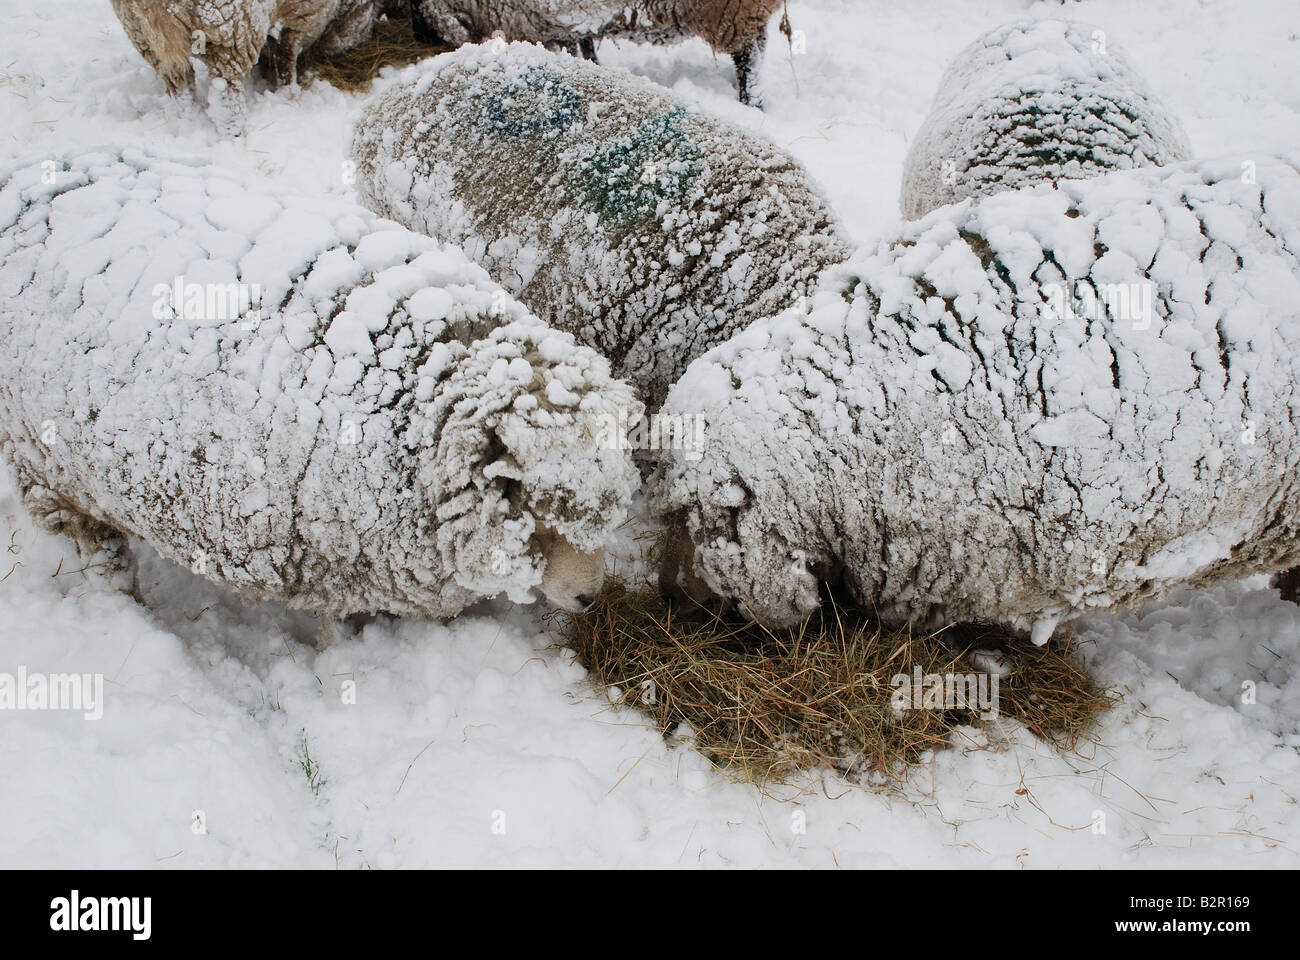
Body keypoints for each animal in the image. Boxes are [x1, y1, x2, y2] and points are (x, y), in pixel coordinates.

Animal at [109, 0, 382, 134]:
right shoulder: (299, 19)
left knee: (179, 85)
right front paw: (288, 93)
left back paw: (188, 117)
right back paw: (234, 131)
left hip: (143, 37)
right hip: (229, 30)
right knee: (226, 97)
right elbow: (286, 56)